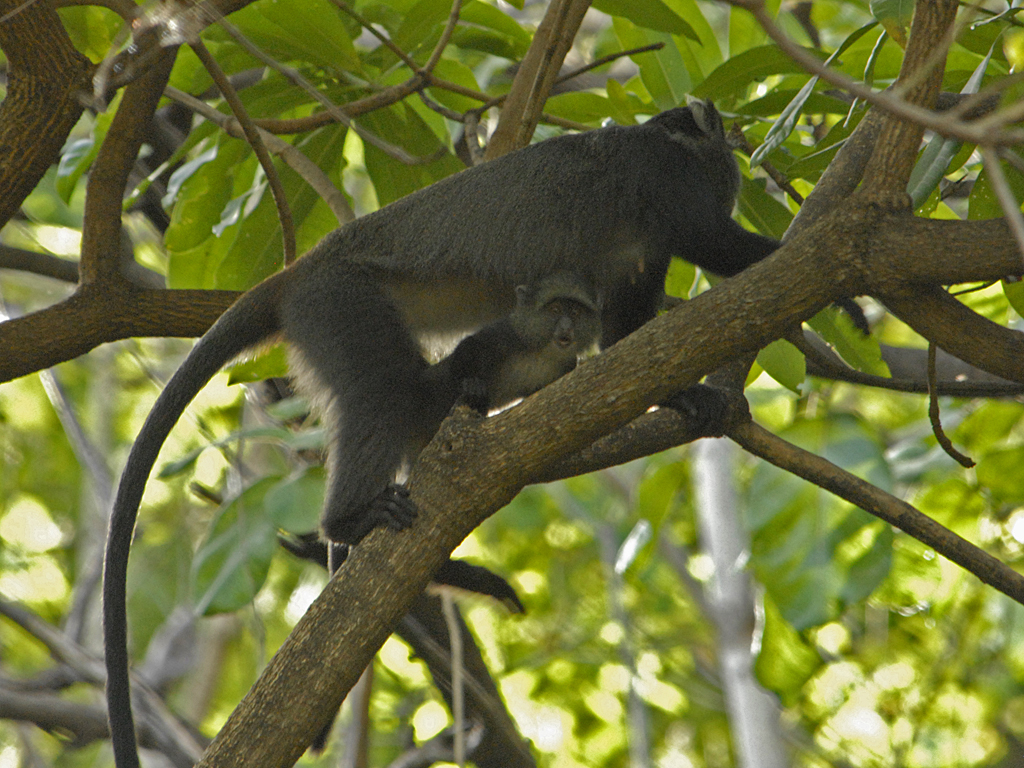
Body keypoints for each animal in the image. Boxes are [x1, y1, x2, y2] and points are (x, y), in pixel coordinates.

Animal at [105, 99, 783, 768]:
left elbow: (629, 339)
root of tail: (303, 269)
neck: (664, 141)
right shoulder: (670, 186)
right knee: (386, 394)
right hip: (340, 304)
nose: (724, 128)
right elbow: (714, 243)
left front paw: (683, 392)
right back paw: (350, 523)